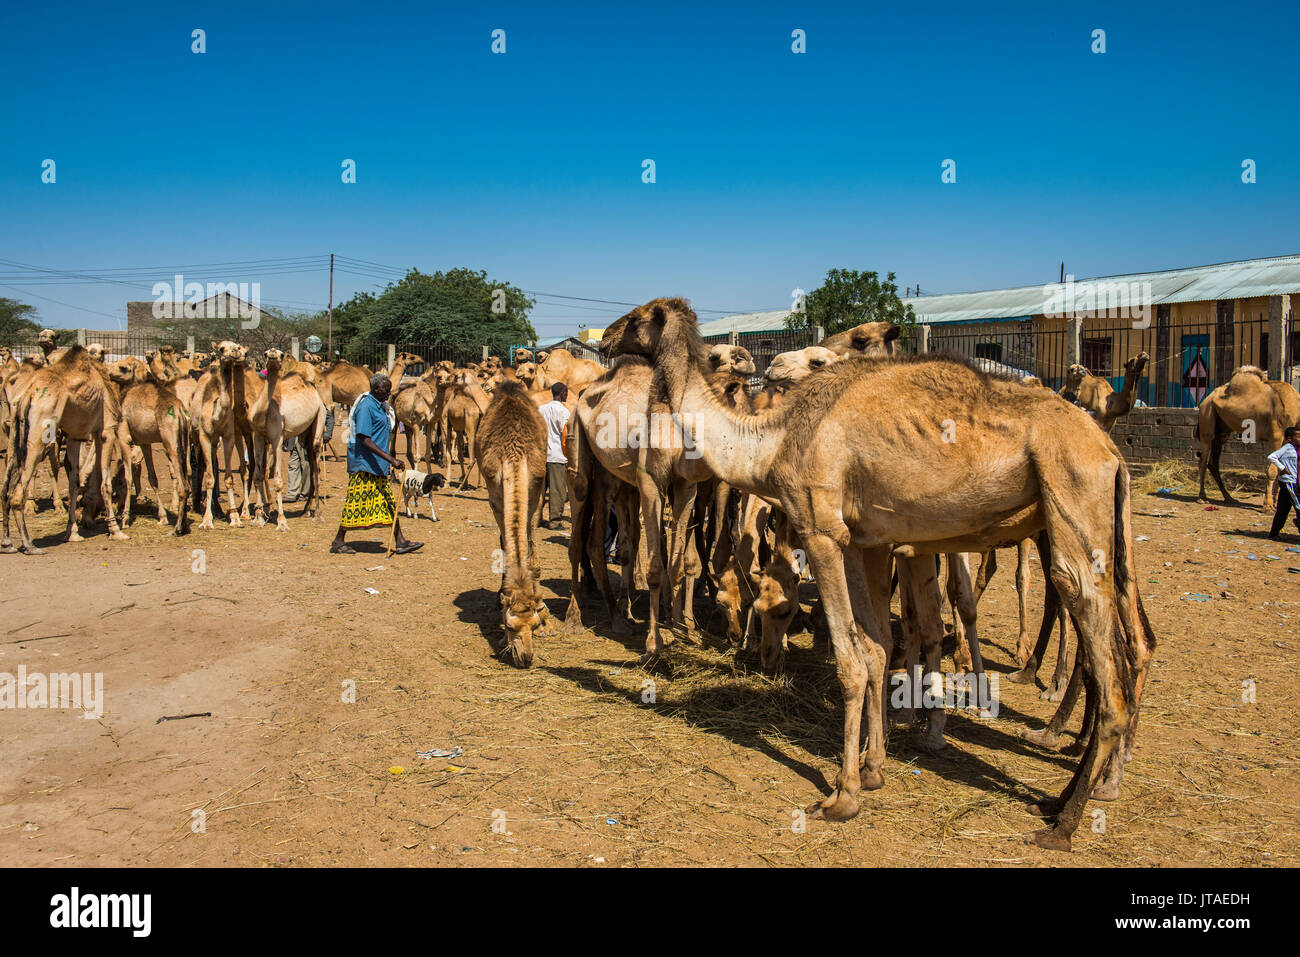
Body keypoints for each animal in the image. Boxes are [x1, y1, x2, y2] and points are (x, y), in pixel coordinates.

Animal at [3, 346, 130, 553]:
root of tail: (28, 394)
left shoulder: (74, 436)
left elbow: (74, 483)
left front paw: (72, 533)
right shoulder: (107, 430)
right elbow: (105, 483)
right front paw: (115, 530)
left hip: (15, 430)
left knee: (6, 487)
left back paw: (7, 542)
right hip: (42, 429)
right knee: (16, 492)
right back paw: (29, 544)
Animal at [475, 379, 551, 666]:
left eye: (534, 624)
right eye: (509, 627)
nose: (525, 657)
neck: (514, 452)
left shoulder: (537, 487)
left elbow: (528, 543)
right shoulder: (494, 495)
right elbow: (507, 543)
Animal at [630, 297, 1154, 851]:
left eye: (639, 319)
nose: (767, 366)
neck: (774, 443)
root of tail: (1110, 452)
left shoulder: (835, 534)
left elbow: (876, 647)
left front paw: (851, 787)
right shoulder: (870, 542)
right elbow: (882, 642)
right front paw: (876, 759)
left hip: (1073, 509)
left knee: (1097, 645)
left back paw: (1065, 815)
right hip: (1096, 528)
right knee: (1128, 641)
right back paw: (1067, 785)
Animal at [1197, 365, 1300, 509]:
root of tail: (1205, 399)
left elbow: (1282, 469)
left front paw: (1275, 503)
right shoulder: (1276, 435)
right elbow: (1272, 470)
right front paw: (1268, 506)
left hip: (1222, 430)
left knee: (1213, 461)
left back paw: (1229, 498)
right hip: (1207, 414)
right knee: (1203, 458)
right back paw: (1202, 497)